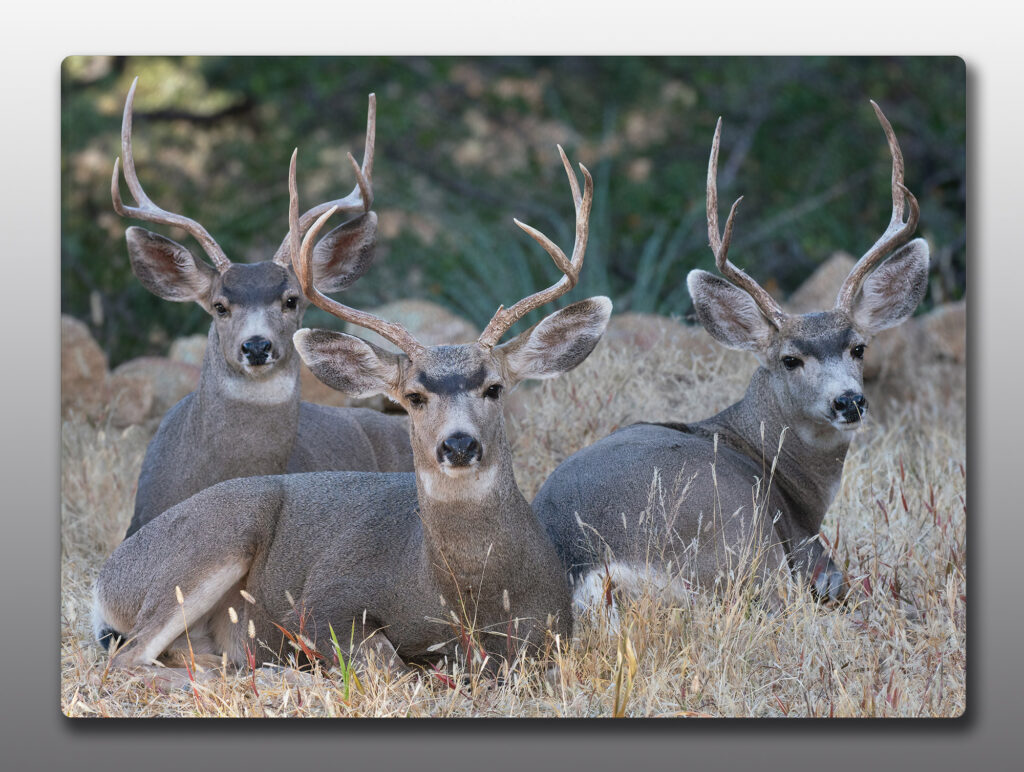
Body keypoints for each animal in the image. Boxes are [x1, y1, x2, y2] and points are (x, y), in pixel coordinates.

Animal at [92, 145, 611, 681]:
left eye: (494, 388)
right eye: (414, 396)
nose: (459, 443)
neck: (463, 594)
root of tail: (105, 580)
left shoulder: (551, 628)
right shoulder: (325, 601)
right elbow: (388, 662)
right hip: (210, 544)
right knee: (126, 658)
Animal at [533, 102, 930, 613]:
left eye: (858, 347)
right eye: (790, 359)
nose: (848, 401)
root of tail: (584, 559)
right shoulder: (807, 550)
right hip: (746, 542)